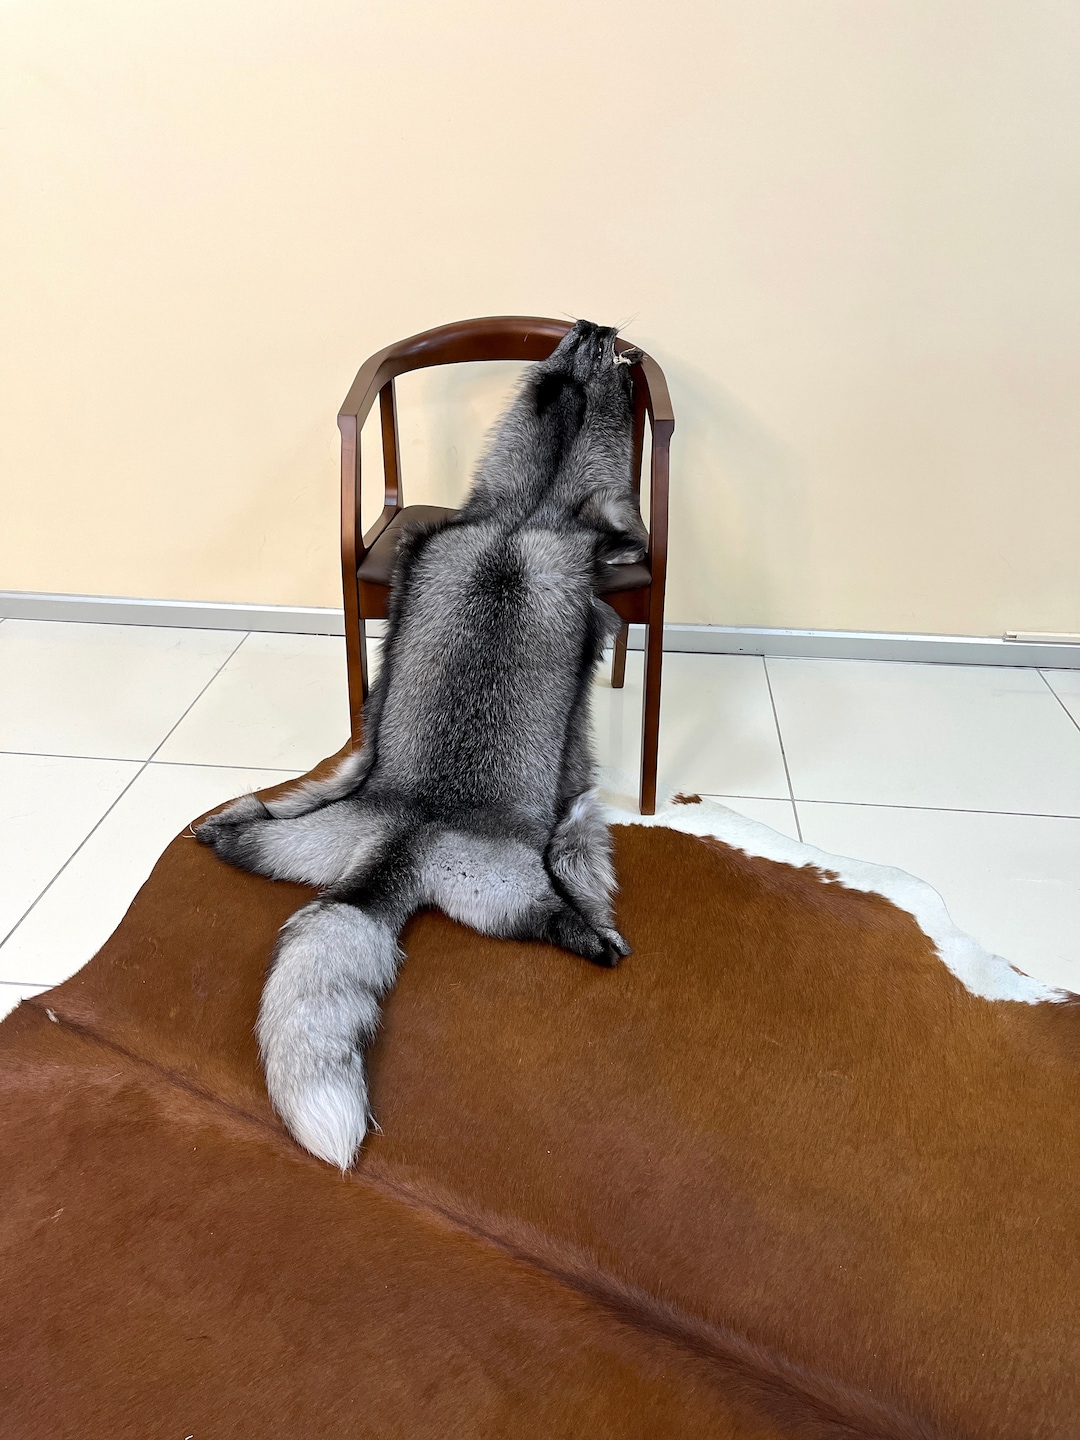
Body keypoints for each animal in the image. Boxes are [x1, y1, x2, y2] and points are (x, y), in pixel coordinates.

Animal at [196, 320, 648, 1169]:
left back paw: (225, 828)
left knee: (257, 844)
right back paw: (596, 937)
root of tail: (403, 840)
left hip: (301, 847)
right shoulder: (601, 548)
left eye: (576, 351)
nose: (596, 327)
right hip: (515, 894)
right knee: (554, 920)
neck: (522, 513)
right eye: (604, 360)